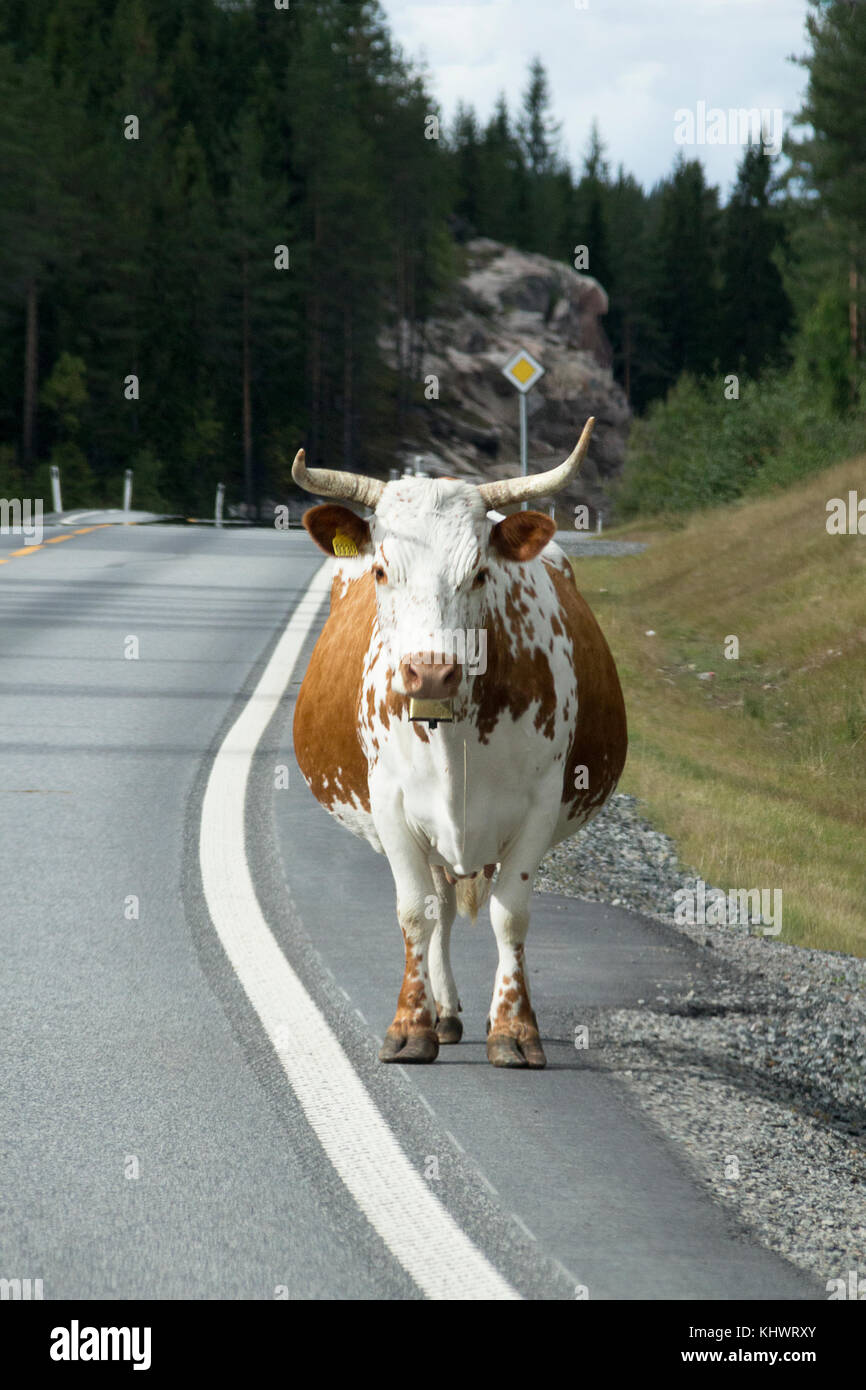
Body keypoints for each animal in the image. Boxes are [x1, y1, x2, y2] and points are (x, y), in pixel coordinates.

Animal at [291, 417, 627, 1069]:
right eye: (382, 571)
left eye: (478, 573)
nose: (430, 674)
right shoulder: (390, 802)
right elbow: (416, 912)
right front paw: (410, 1026)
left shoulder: (540, 804)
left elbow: (510, 914)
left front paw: (516, 1030)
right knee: (442, 904)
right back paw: (442, 1013)